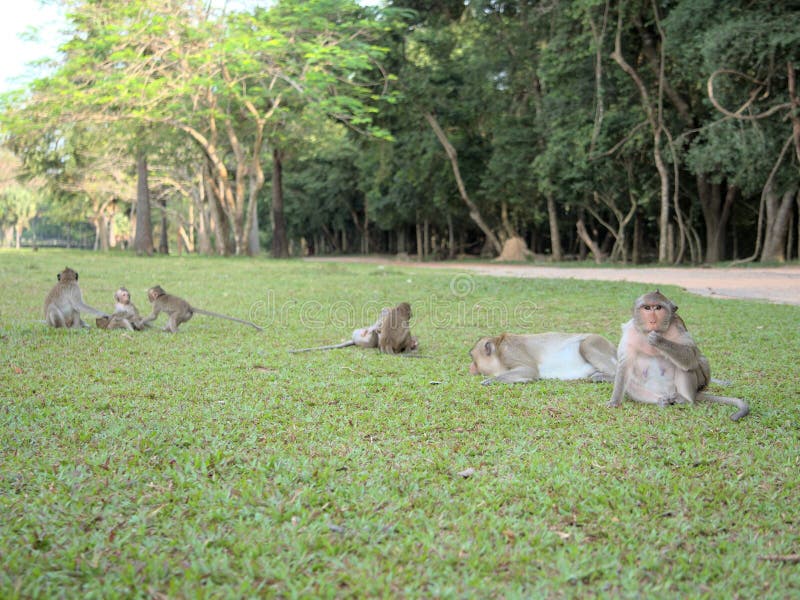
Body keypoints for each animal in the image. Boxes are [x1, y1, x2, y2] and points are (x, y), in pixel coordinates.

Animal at [469, 332, 617, 385]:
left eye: (473, 359)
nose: (470, 367)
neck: (499, 350)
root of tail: (614, 348)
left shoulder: (510, 352)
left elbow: (530, 370)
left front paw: (490, 381)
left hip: (596, 341)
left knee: (585, 345)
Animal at [608, 290, 749, 421]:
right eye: (647, 308)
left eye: (658, 308)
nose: (652, 321)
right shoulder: (630, 332)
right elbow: (624, 366)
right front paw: (614, 401)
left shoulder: (678, 326)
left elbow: (691, 355)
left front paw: (659, 340)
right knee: (630, 381)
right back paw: (659, 400)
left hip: (676, 390)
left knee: (685, 367)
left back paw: (686, 399)